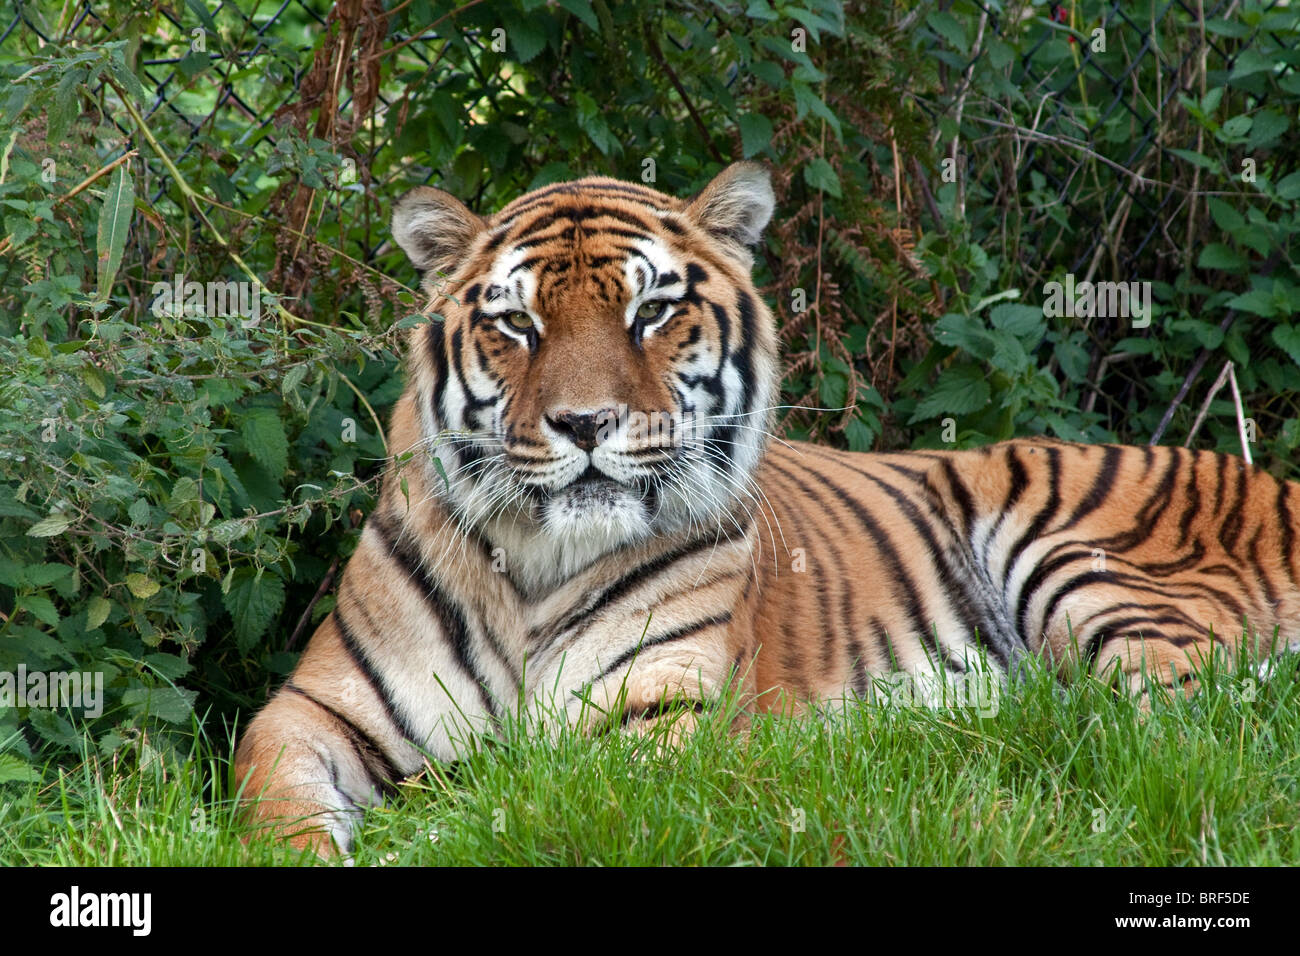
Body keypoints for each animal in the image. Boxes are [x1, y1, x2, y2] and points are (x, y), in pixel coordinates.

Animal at [234, 161, 1300, 855]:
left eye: (652, 312)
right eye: (516, 322)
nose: (585, 423)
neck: (534, 568)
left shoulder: (647, 727)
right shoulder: (313, 710)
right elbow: (271, 796)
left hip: (1072, 554)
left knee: (1189, 728)